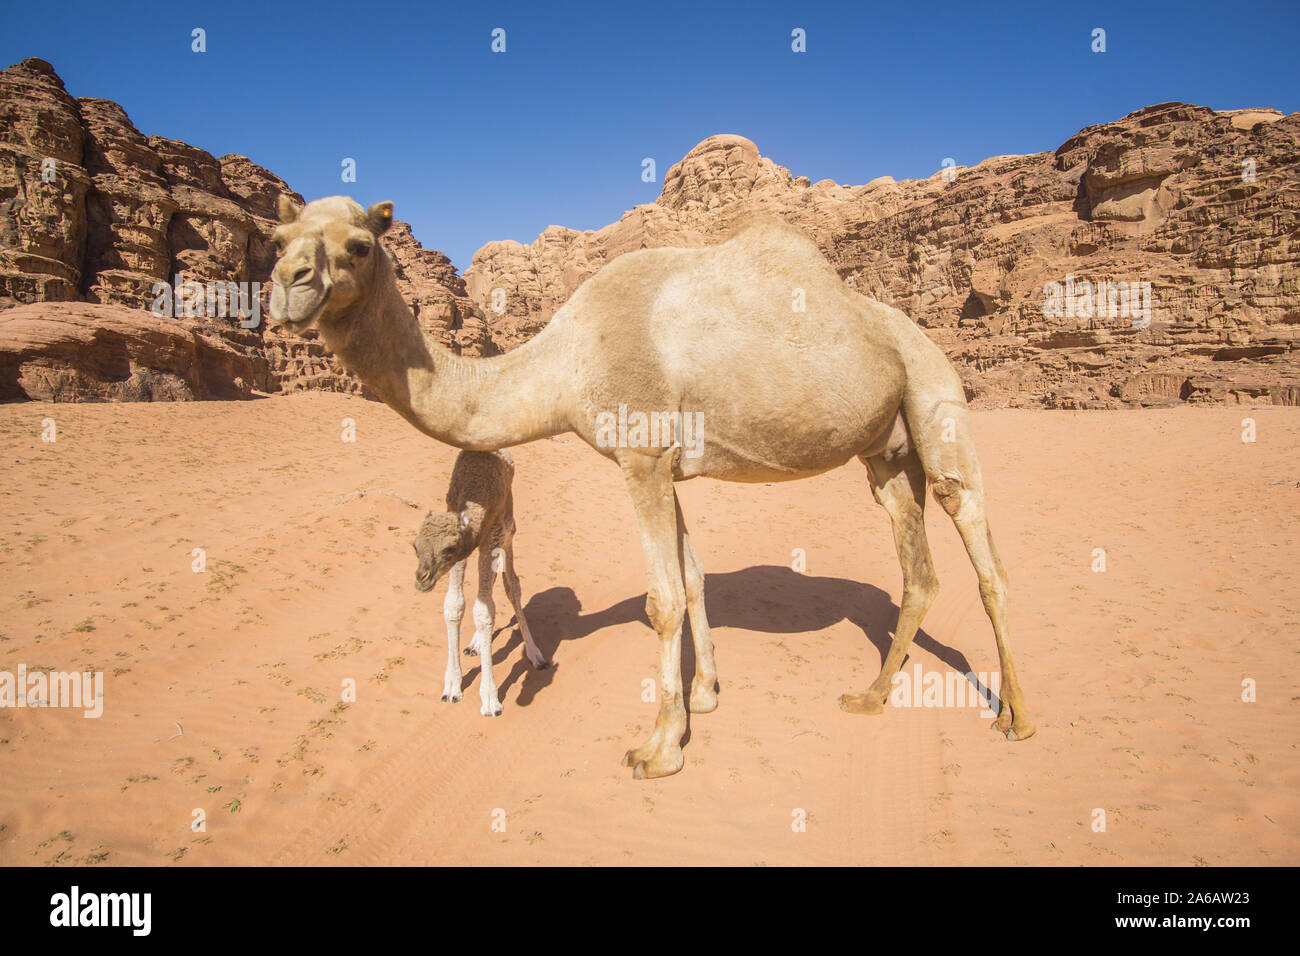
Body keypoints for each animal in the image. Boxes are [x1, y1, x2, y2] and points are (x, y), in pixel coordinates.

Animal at [413, 448, 548, 716]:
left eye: (449, 548)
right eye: (415, 546)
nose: (422, 578)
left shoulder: (492, 535)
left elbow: (484, 610)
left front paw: (490, 700)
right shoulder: (465, 549)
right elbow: (455, 605)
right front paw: (452, 687)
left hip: (508, 530)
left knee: (511, 585)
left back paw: (535, 654)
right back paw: (474, 644)